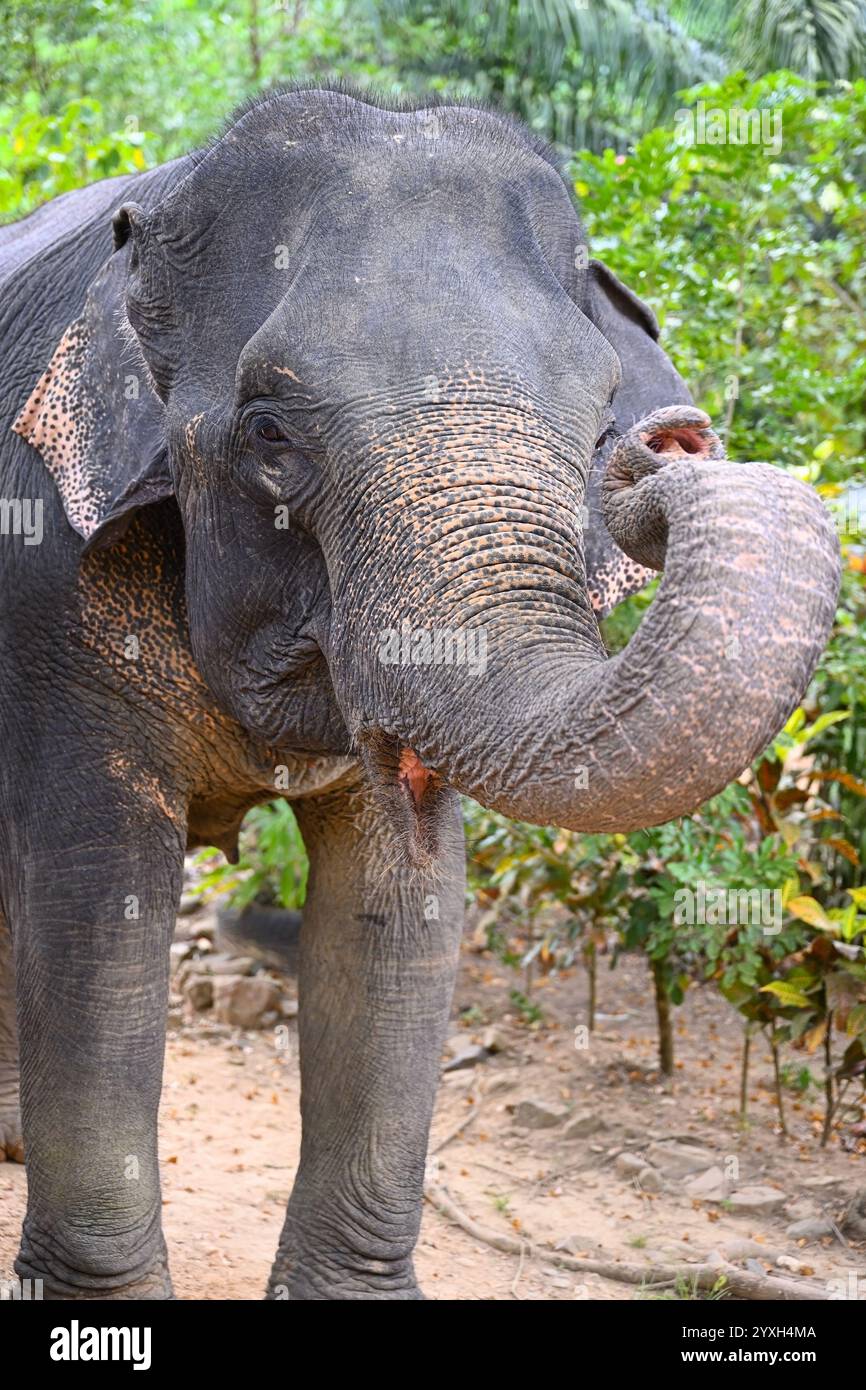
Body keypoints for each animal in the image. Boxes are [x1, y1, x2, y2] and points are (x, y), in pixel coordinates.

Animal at [0, 85, 840, 1300]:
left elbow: (397, 908)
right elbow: (93, 897)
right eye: (270, 432)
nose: (669, 444)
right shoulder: (42, 589)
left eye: (600, 422)